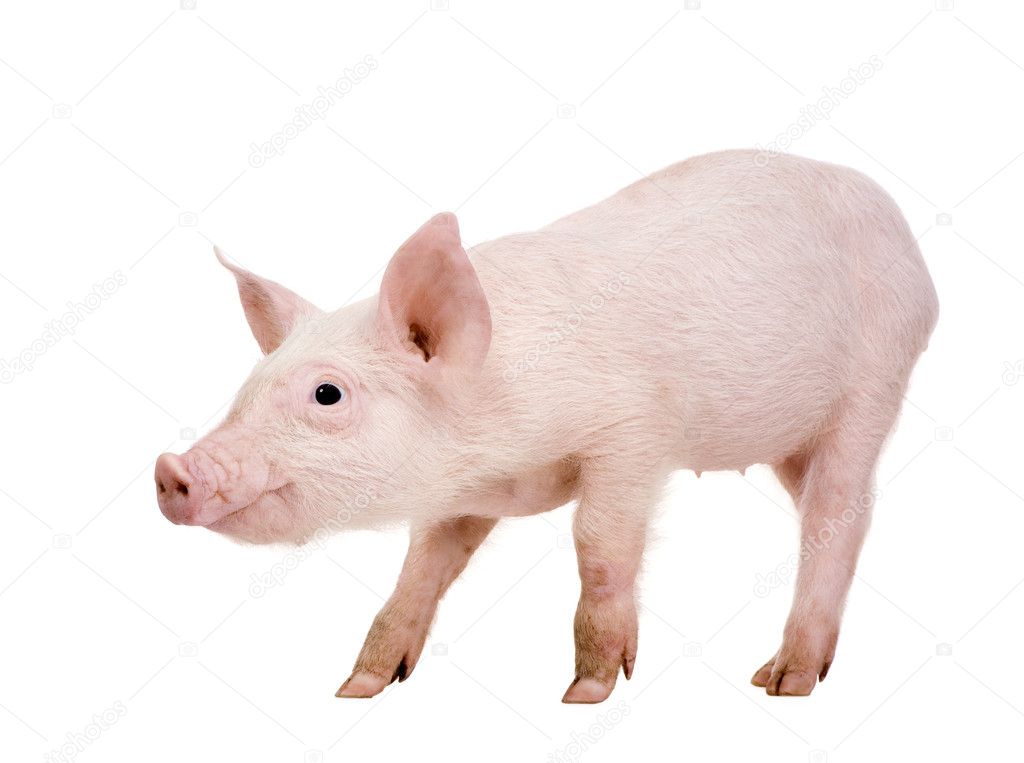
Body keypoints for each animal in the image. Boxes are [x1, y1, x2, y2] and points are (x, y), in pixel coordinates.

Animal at [155, 149, 938, 702]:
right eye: (246, 390)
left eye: (327, 394)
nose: (170, 469)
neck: (499, 451)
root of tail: (911, 247)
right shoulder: (463, 494)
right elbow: (424, 563)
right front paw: (358, 687)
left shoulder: (633, 432)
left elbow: (597, 542)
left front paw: (586, 692)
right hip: (791, 435)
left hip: (874, 380)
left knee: (837, 511)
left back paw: (783, 682)